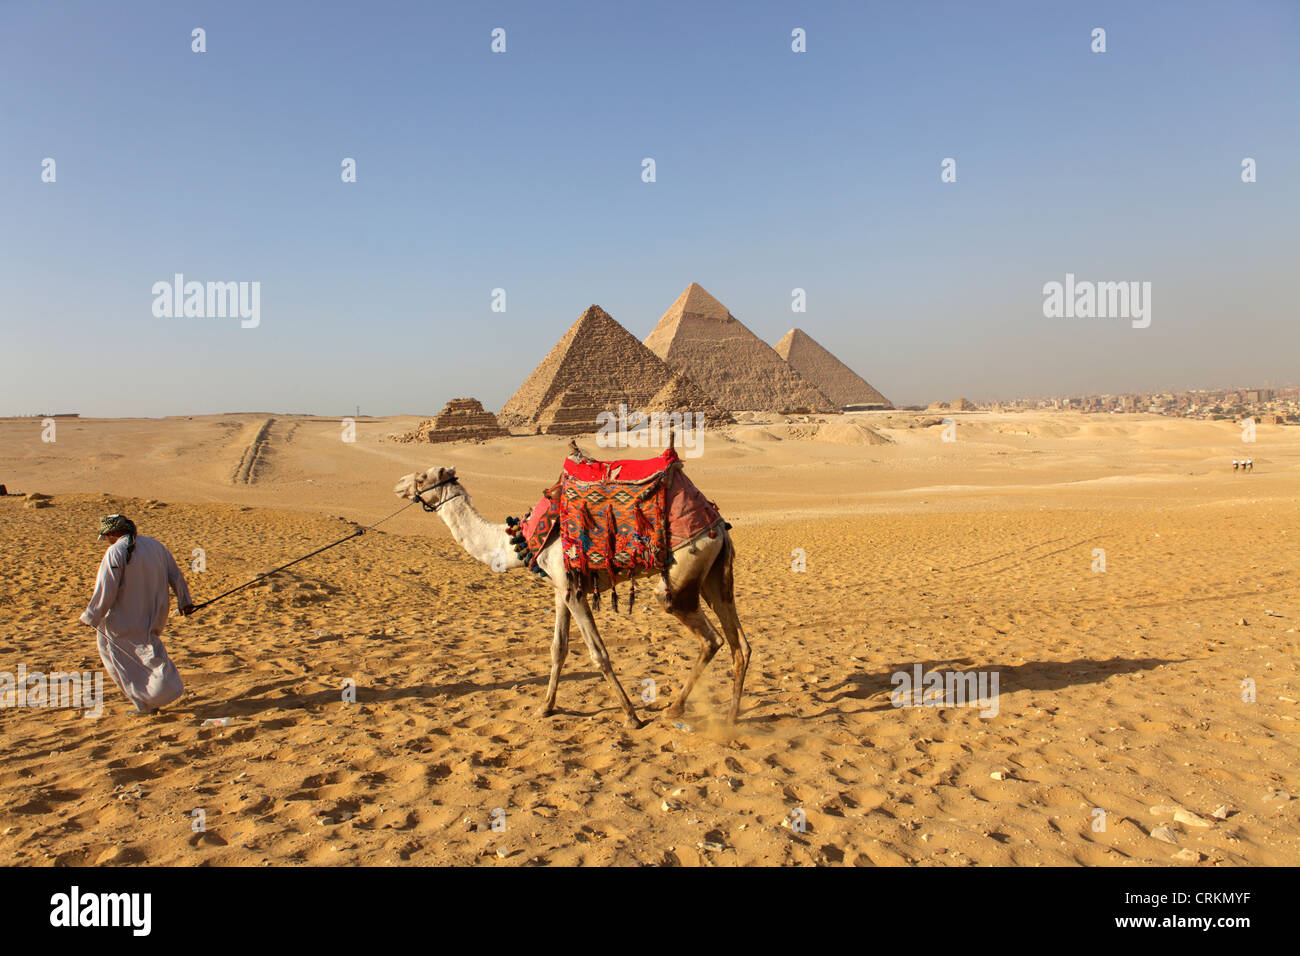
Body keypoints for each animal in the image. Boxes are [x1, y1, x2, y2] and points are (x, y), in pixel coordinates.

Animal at [392, 445, 750, 730]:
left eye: (423, 477)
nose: (399, 485)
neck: (519, 541)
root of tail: (717, 524)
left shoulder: (573, 589)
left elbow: (598, 653)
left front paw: (631, 716)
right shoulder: (559, 589)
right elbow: (558, 649)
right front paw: (544, 708)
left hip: (681, 575)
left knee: (711, 638)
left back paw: (675, 709)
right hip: (714, 576)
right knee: (740, 644)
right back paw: (731, 716)